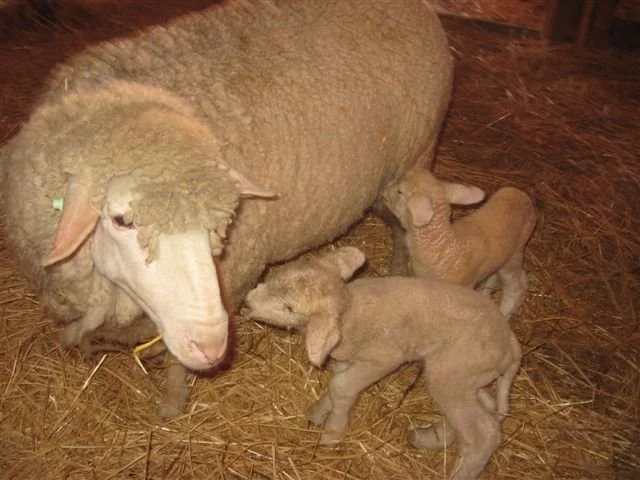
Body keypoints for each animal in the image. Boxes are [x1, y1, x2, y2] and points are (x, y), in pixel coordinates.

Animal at [0, 0, 454, 414]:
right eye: (122, 220)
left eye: (220, 225)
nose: (213, 345)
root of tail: (421, 9)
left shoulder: (233, 277)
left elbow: (176, 366)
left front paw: (172, 404)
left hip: (413, 159)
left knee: (403, 231)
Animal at [245, 246, 522, 480]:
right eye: (276, 276)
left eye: (289, 308)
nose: (247, 301)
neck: (351, 313)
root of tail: (510, 340)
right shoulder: (348, 359)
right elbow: (337, 384)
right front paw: (319, 413)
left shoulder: (384, 358)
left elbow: (341, 387)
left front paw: (333, 432)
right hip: (466, 378)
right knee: (481, 411)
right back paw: (428, 438)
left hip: (451, 373)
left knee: (483, 433)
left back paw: (459, 470)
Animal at [383, 168, 537, 318]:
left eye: (400, 191)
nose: (384, 191)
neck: (441, 245)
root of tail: (522, 195)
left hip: (515, 254)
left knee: (518, 284)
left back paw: (505, 312)